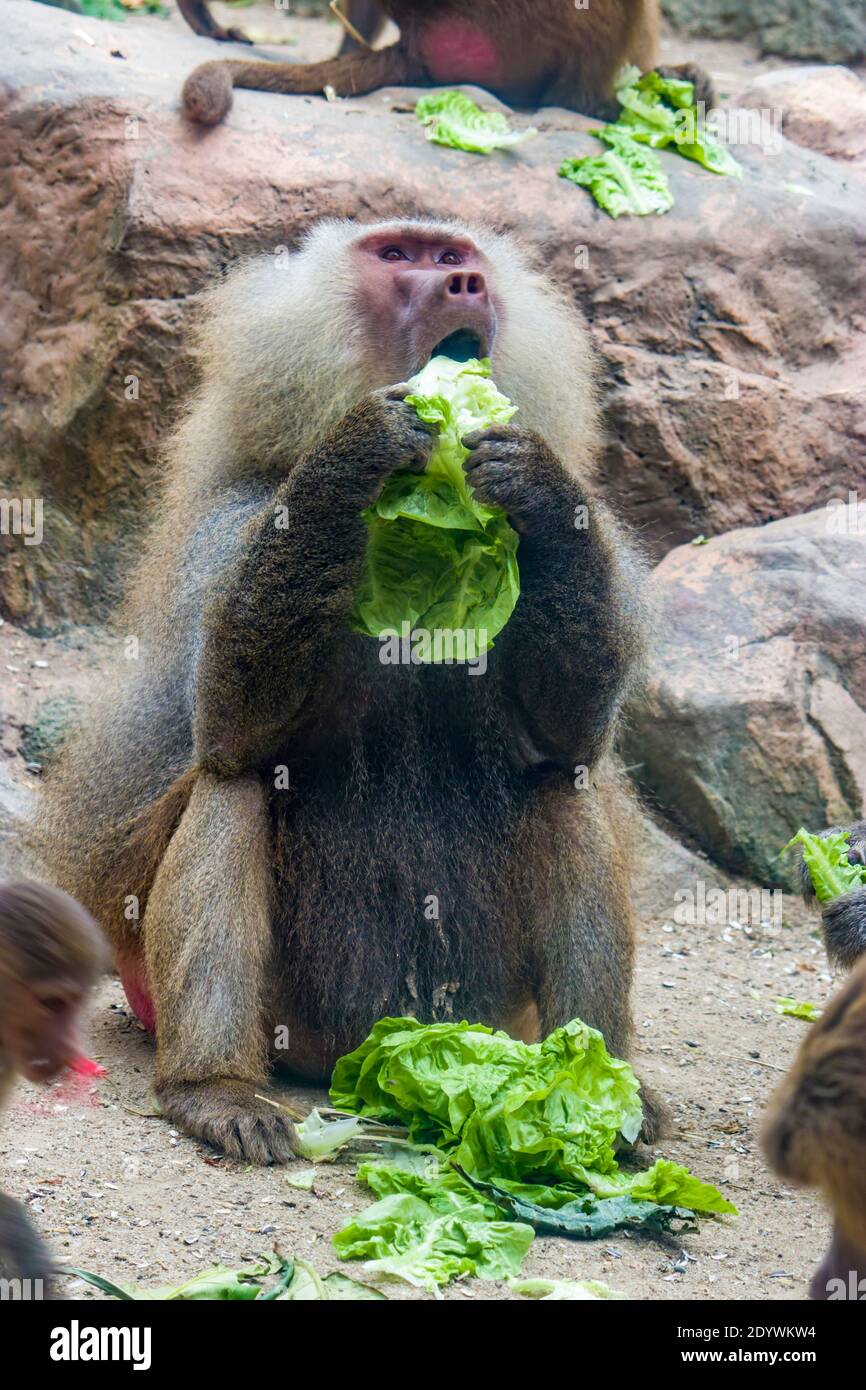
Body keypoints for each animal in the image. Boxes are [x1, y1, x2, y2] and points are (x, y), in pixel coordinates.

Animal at [37, 217, 659, 1165]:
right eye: (399, 256)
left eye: (453, 257)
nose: (466, 285)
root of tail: (370, 1056)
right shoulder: (236, 525)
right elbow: (228, 726)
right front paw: (358, 446)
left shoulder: (604, 541)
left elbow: (573, 735)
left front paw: (533, 479)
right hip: (281, 1022)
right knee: (233, 786)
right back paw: (216, 1093)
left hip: (485, 1014)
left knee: (564, 785)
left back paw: (598, 1096)